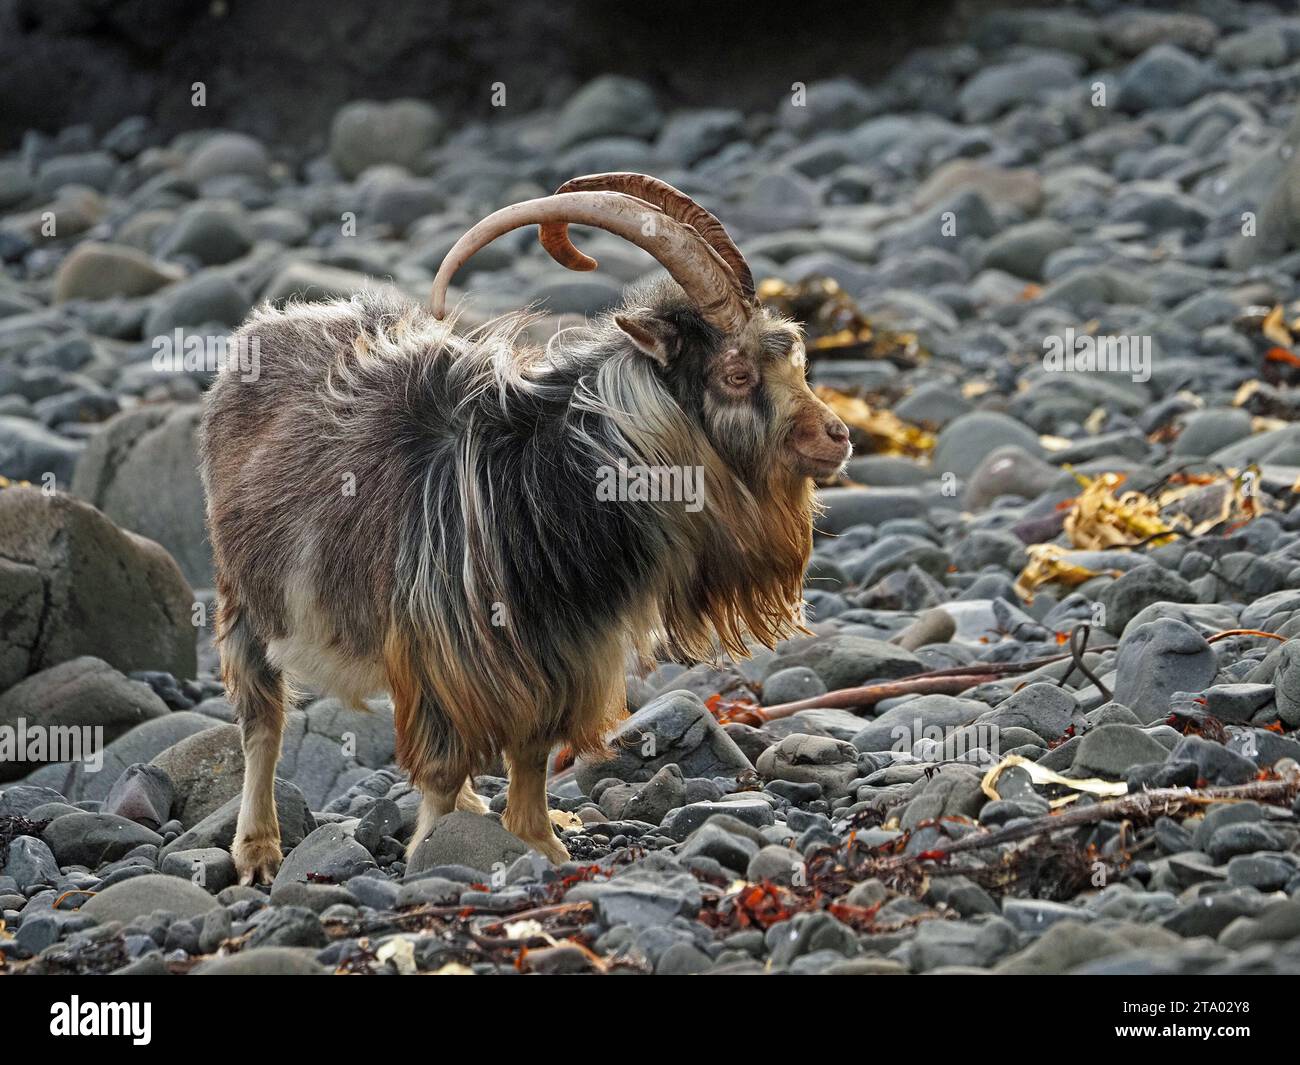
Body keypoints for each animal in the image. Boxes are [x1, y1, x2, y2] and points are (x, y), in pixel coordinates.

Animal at [199, 172, 851, 883]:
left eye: (794, 359)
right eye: (736, 373)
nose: (838, 436)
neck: (550, 477)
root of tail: (261, 332)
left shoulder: (559, 650)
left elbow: (532, 752)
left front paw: (539, 842)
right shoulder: (438, 645)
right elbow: (441, 761)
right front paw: (434, 850)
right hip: (244, 599)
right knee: (262, 720)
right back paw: (259, 849)